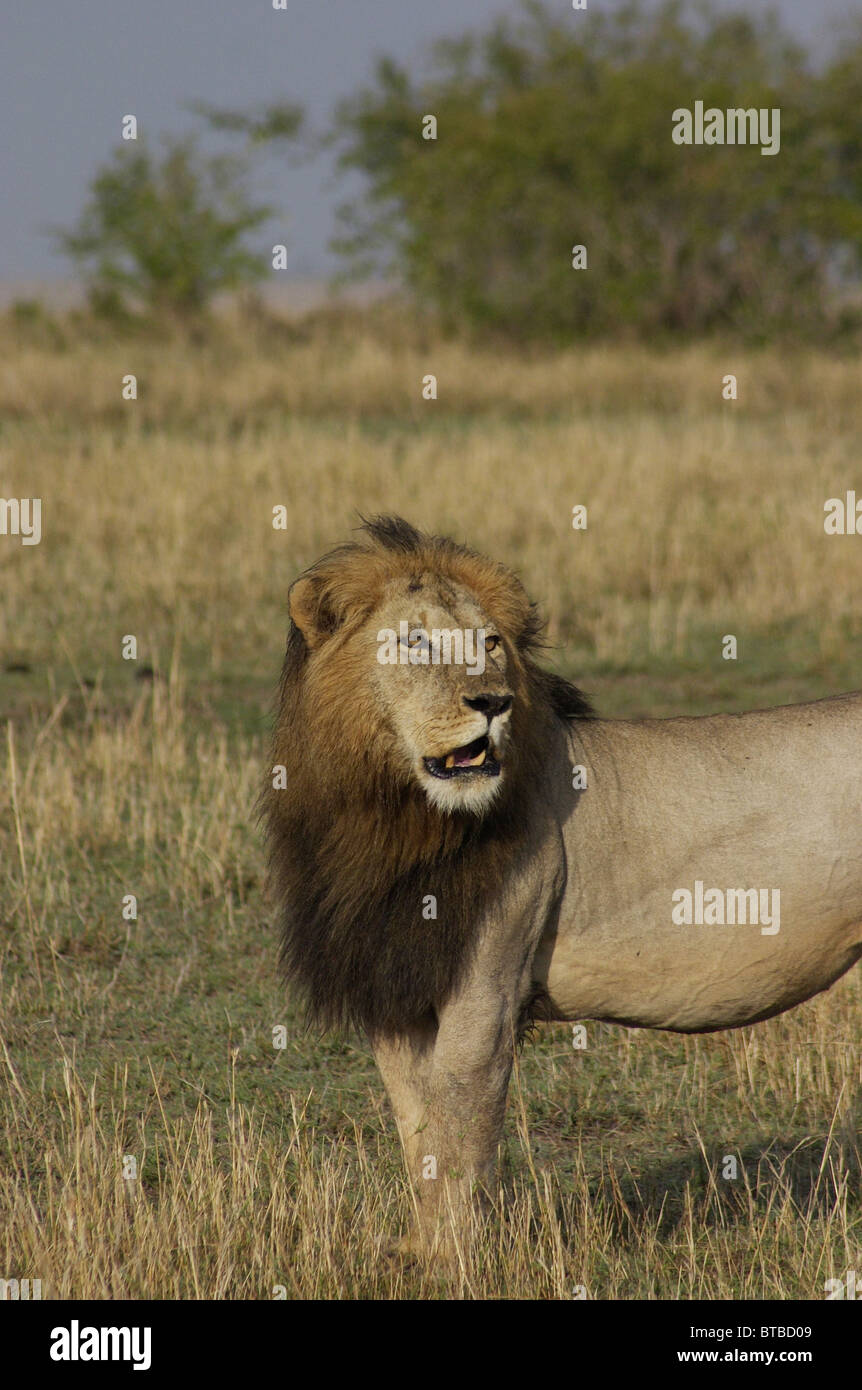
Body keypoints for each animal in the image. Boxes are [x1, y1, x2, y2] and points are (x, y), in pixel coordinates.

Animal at [264, 515, 862, 1255]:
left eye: (491, 644)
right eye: (414, 640)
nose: (492, 701)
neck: (392, 818)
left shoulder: (486, 990)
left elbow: (458, 1137)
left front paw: (455, 1262)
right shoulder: (398, 990)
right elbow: (418, 1135)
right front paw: (421, 1255)